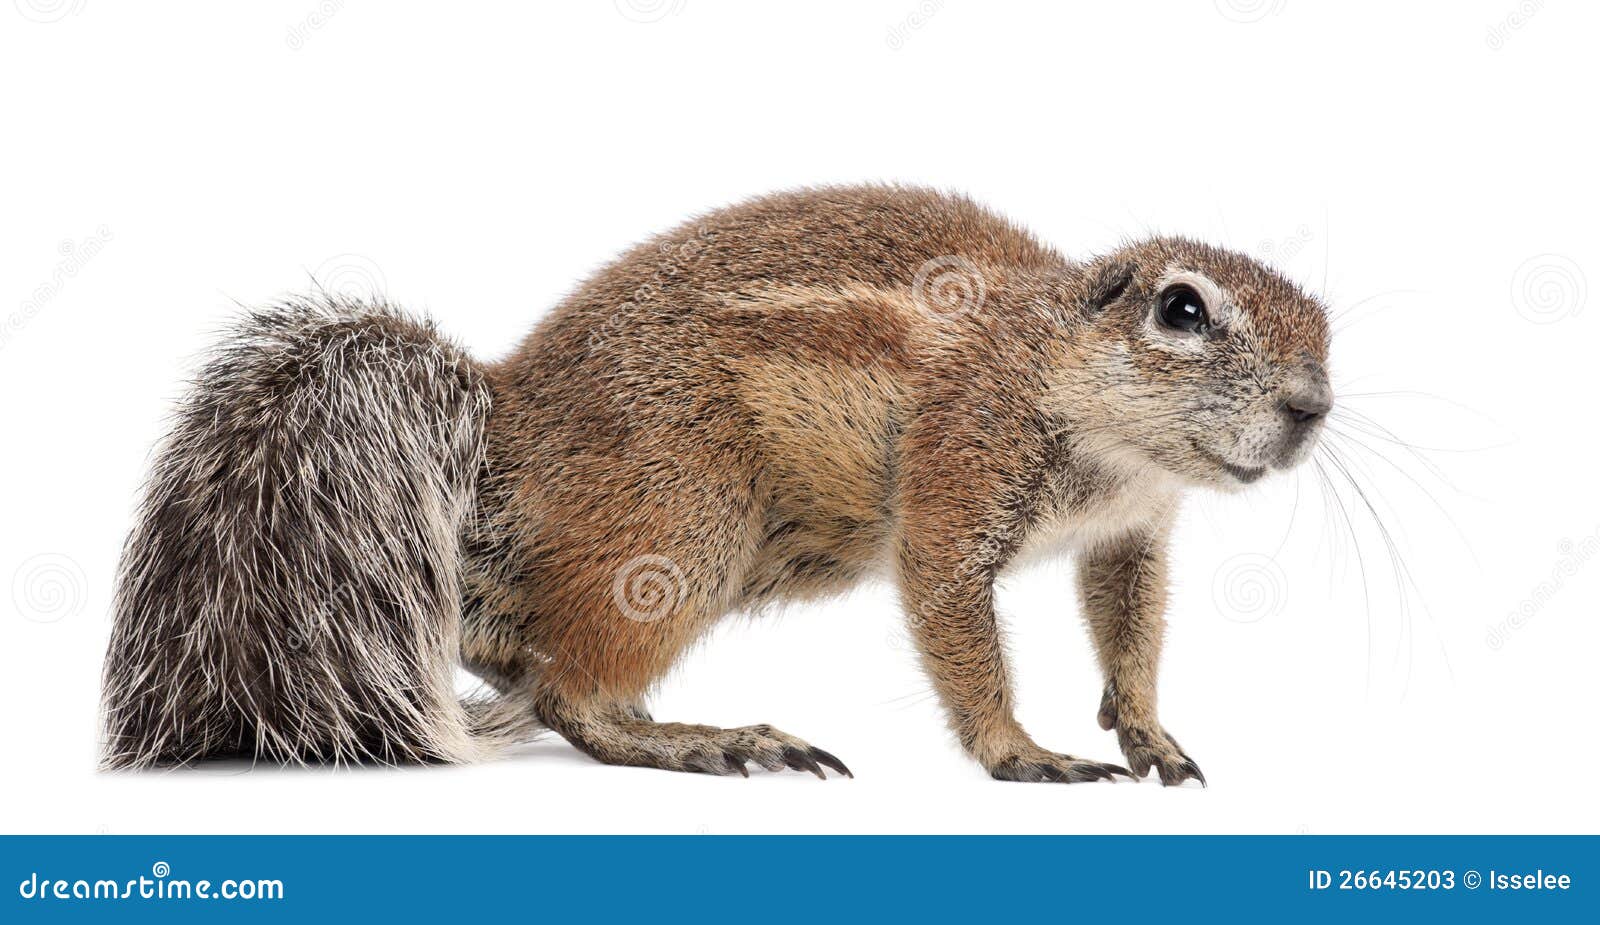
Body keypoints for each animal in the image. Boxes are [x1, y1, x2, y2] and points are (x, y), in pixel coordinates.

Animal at [101, 185, 1332, 784]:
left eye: (1322, 322)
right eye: (1182, 309)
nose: (1312, 407)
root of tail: (497, 432)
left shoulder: (1133, 532)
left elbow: (1128, 624)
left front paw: (1149, 732)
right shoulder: (957, 472)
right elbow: (954, 617)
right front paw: (1019, 750)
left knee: (520, 655)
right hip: (682, 524)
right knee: (570, 698)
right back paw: (705, 738)